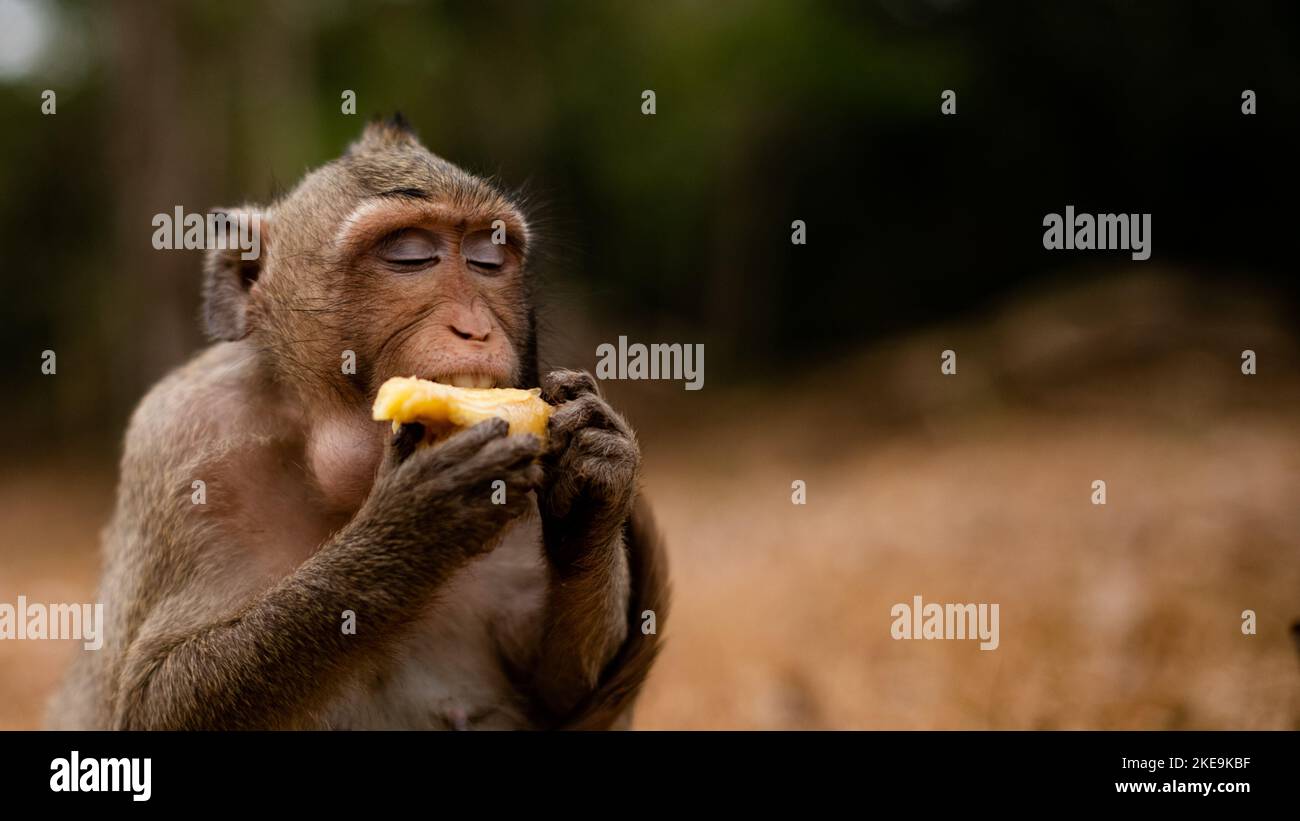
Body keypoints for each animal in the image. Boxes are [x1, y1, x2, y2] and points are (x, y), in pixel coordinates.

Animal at [47, 115, 669, 730]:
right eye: (410, 255)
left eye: (488, 260)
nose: (475, 328)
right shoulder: (183, 440)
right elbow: (150, 703)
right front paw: (410, 528)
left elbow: (558, 690)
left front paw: (594, 480)